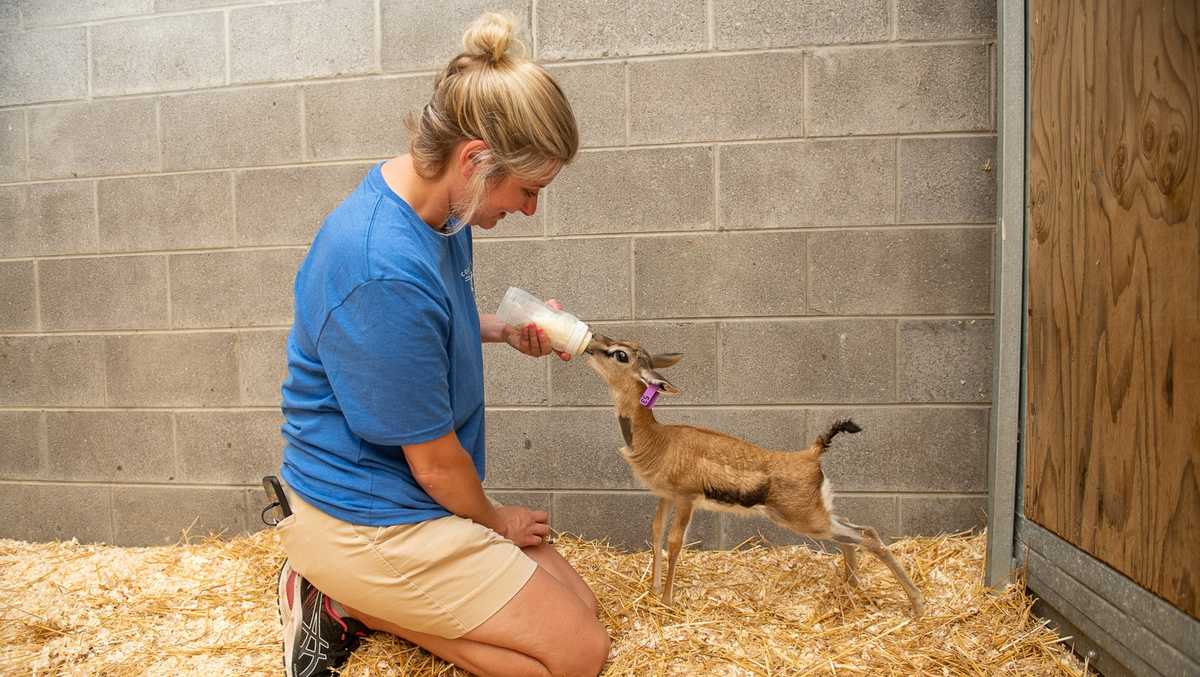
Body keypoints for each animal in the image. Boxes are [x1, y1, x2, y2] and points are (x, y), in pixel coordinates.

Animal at [584, 333, 925, 617]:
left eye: (620, 354)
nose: (591, 343)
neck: (657, 439)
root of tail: (812, 453)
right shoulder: (666, 496)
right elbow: (656, 534)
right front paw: (654, 592)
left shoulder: (685, 499)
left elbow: (675, 542)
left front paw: (667, 602)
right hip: (817, 518)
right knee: (856, 535)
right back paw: (850, 590)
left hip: (807, 521)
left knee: (868, 536)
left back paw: (917, 605)